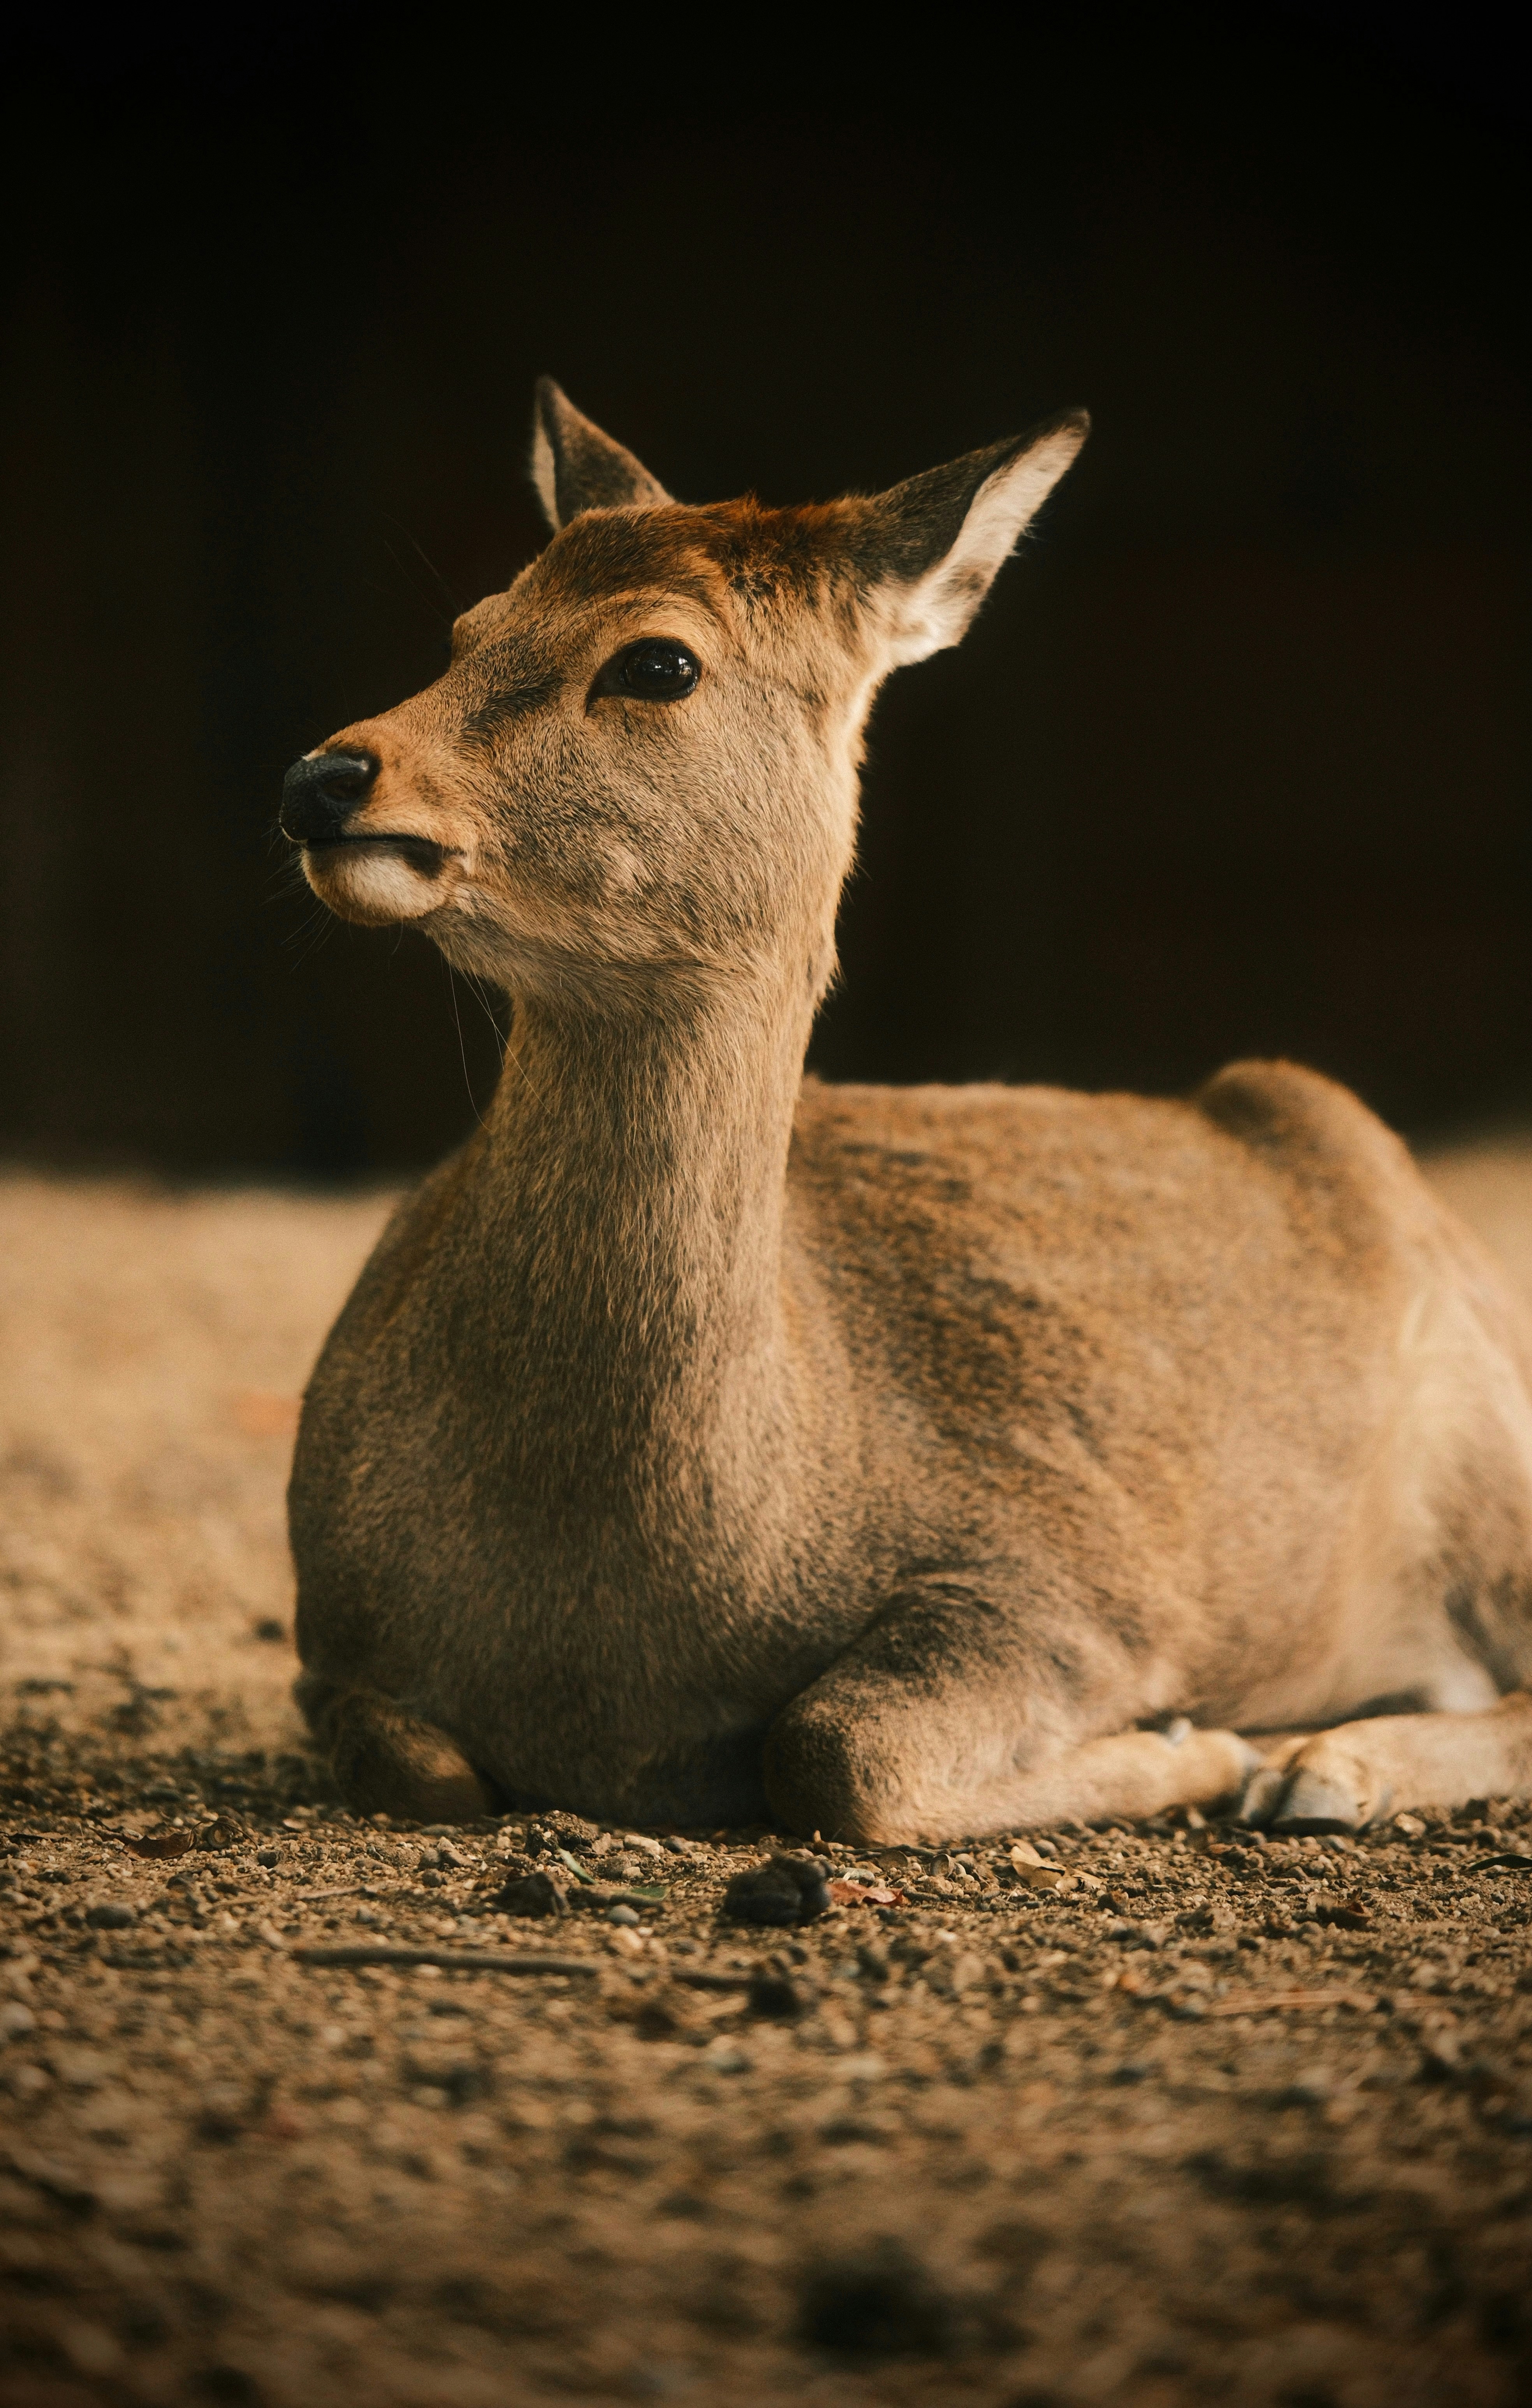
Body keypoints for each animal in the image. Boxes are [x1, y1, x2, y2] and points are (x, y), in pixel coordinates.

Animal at [278, 381, 1532, 1845]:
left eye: (658, 662)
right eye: (470, 625)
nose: (325, 778)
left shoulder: (1064, 1580)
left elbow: (836, 1748)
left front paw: (1198, 1740)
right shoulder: (327, 1639)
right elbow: (420, 1768)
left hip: (1493, 1450)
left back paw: (1325, 1766)